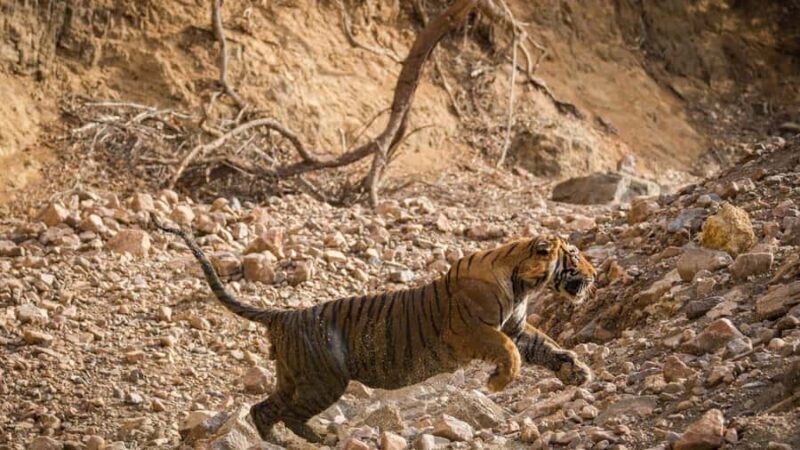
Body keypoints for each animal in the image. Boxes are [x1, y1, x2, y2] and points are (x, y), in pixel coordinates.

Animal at [153, 217, 596, 444]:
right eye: (575, 255)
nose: (593, 275)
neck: (523, 284)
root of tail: (284, 316)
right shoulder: (474, 331)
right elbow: (511, 353)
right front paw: (496, 383)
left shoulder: (518, 327)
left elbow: (545, 347)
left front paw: (577, 372)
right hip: (325, 381)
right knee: (285, 413)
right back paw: (317, 438)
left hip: (294, 378)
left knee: (263, 410)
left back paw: (289, 441)